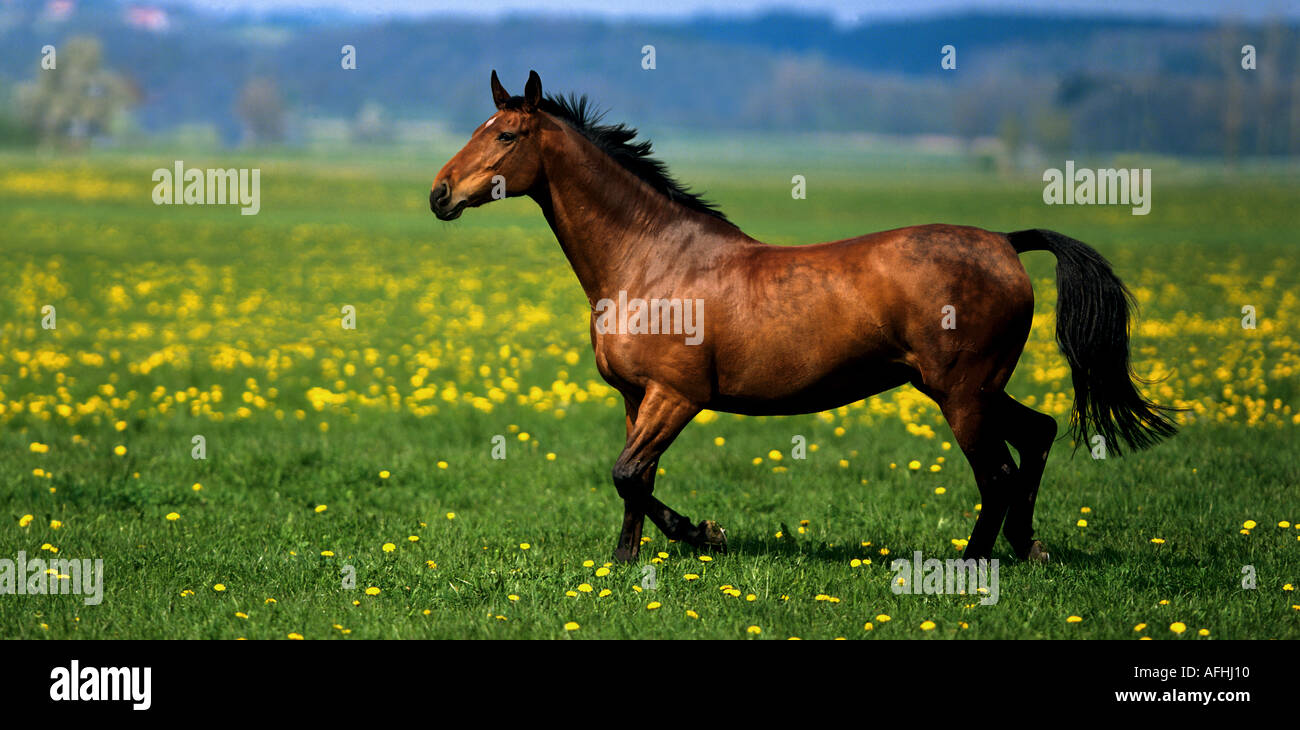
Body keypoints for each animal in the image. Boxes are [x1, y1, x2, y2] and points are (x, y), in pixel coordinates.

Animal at [430, 70, 1177, 564]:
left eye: (506, 135)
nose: (439, 194)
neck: (653, 260)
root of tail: (1004, 242)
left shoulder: (677, 396)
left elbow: (628, 475)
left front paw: (705, 534)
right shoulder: (635, 397)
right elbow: (635, 483)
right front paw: (621, 565)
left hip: (962, 394)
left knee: (995, 473)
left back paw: (971, 566)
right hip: (975, 388)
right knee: (1039, 436)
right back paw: (1028, 549)